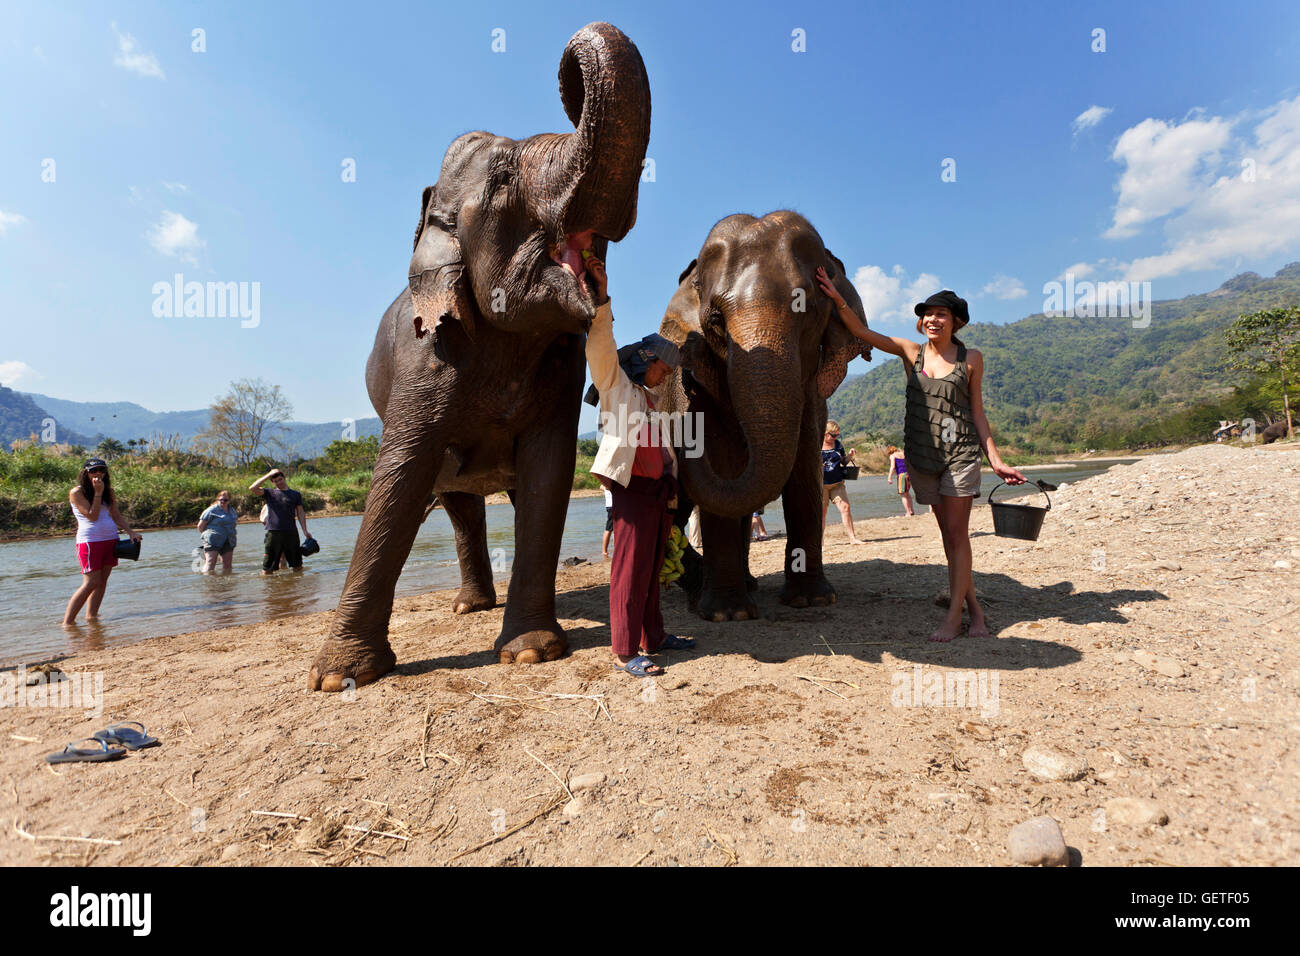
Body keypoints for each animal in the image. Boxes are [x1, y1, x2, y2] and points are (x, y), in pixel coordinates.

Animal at [308, 22, 651, 691]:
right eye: (503, 182)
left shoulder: (561, 369)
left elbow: (549, 472)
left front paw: (532, 654)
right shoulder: (424, 355)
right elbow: (400, 475)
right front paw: (337, 679)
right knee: (453, 498)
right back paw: (469, 607)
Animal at [652, 211, 871, 622]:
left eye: (809, 308)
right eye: (715, 320)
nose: (688, 369)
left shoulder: (813, 398)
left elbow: (805, 471)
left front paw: (812, 600)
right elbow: (720, 460)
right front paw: (728, 614)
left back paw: (746, 584)